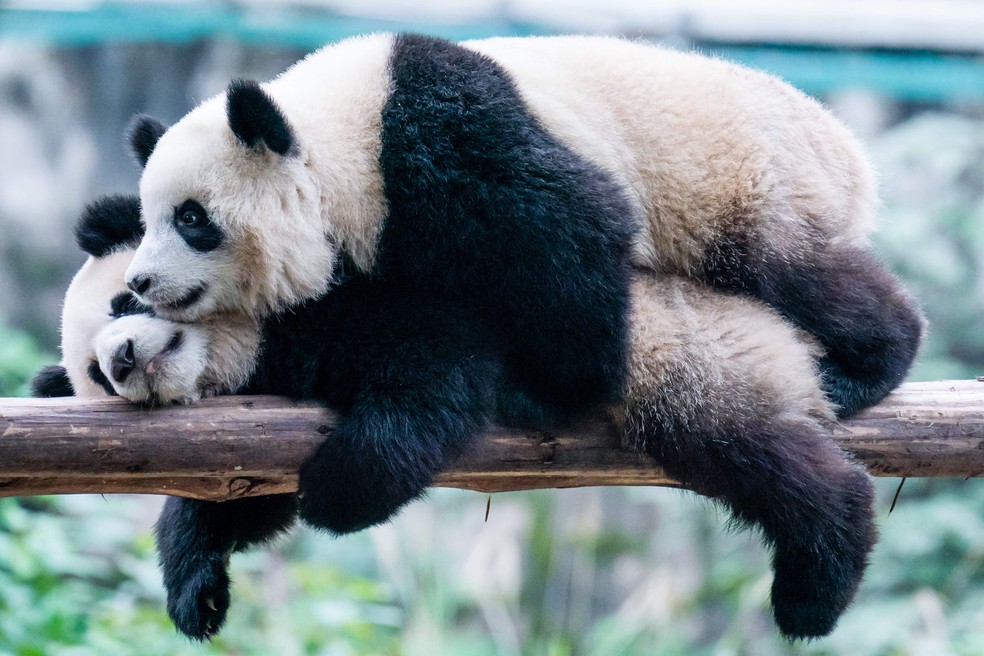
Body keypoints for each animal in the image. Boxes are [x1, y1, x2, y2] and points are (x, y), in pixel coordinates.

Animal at [37, 194, 876, 641]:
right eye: (93, 379)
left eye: (125, 300)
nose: (120, 359)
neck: (248, 341)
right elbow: (242, 492)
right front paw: (198, 591)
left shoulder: (353, 297)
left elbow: (438, 370)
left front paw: (337, 492)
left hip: (690, 357)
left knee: (760, 459)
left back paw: (818, 580)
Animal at [124, 33, 923, 421]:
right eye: (146, 218)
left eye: (192, 219)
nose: (139, 281)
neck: (333, 138)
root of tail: (846, 147)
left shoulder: (439, 137)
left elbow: (576, 227)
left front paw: (558, 394)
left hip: (749, 180)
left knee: (798, 274)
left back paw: (869, 363)